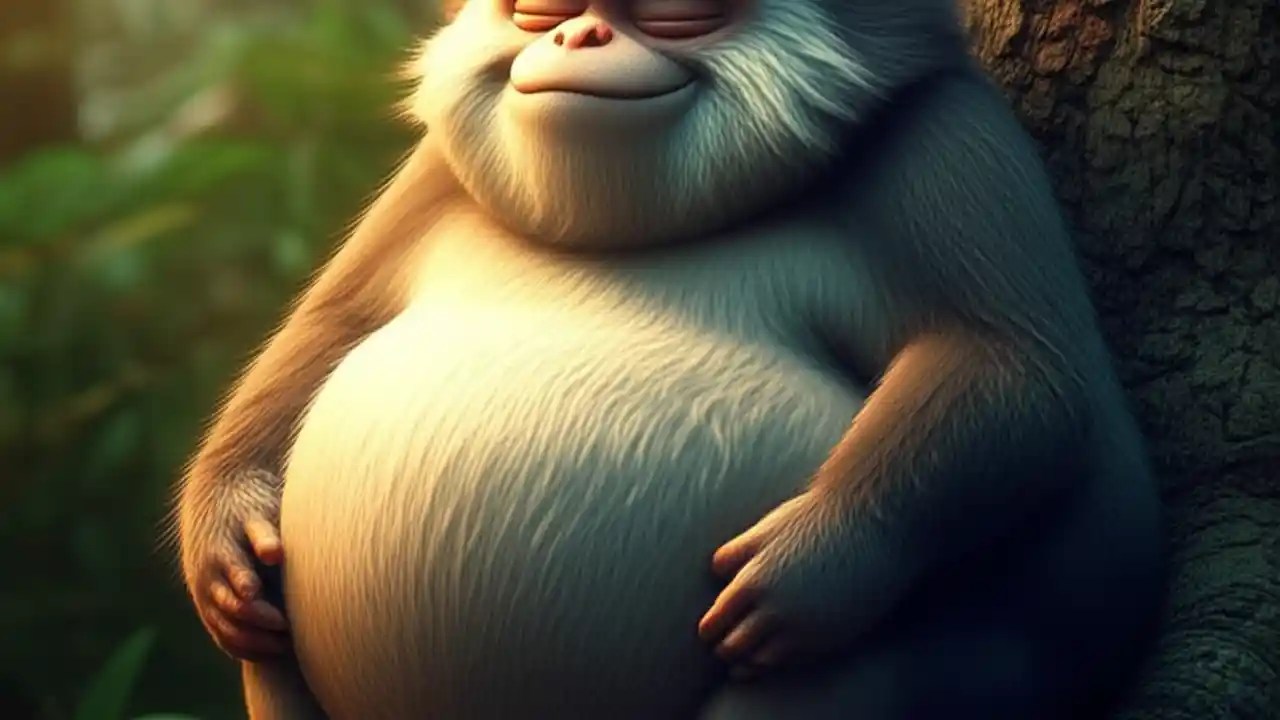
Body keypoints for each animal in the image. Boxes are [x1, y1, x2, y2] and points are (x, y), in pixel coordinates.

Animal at [171, 0, 1165, 718]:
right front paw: (220, 534)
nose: (579, 33)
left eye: (674, 10)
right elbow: (331, 324)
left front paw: (815, 563)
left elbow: (1022, 376)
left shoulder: (950, 140)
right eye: (539, 6)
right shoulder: (436, 174)